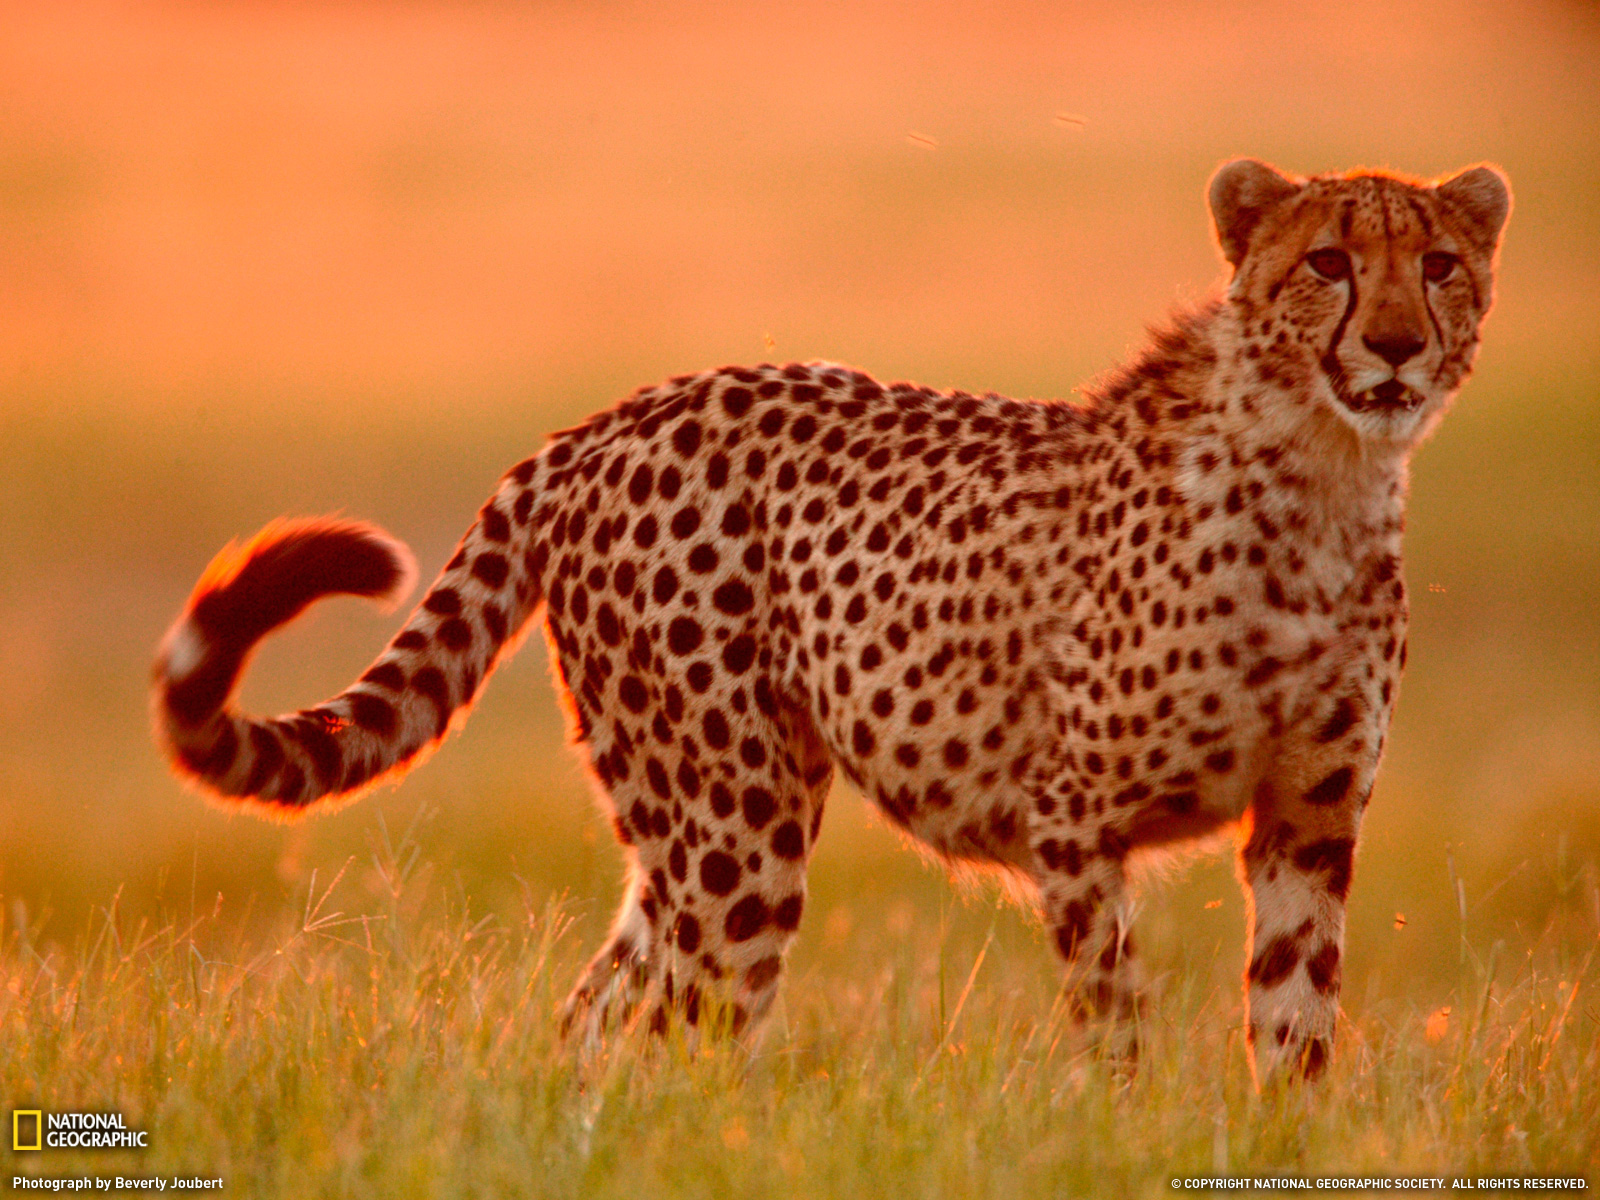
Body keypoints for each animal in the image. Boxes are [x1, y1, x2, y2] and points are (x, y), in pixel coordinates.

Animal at [153, 158, 1510, 1082]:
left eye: (1438, 265)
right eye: (1327, 262)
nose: (1396, 347)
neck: (1324, 476)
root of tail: (606, 420)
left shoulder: (1306, 822)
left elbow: (1295, 1025)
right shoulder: (1073, 822)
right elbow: (1115, 1024)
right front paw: (1124, 1126)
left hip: (695, 825)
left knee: (601, 1015)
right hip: (732, 828)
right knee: (682, 1029)